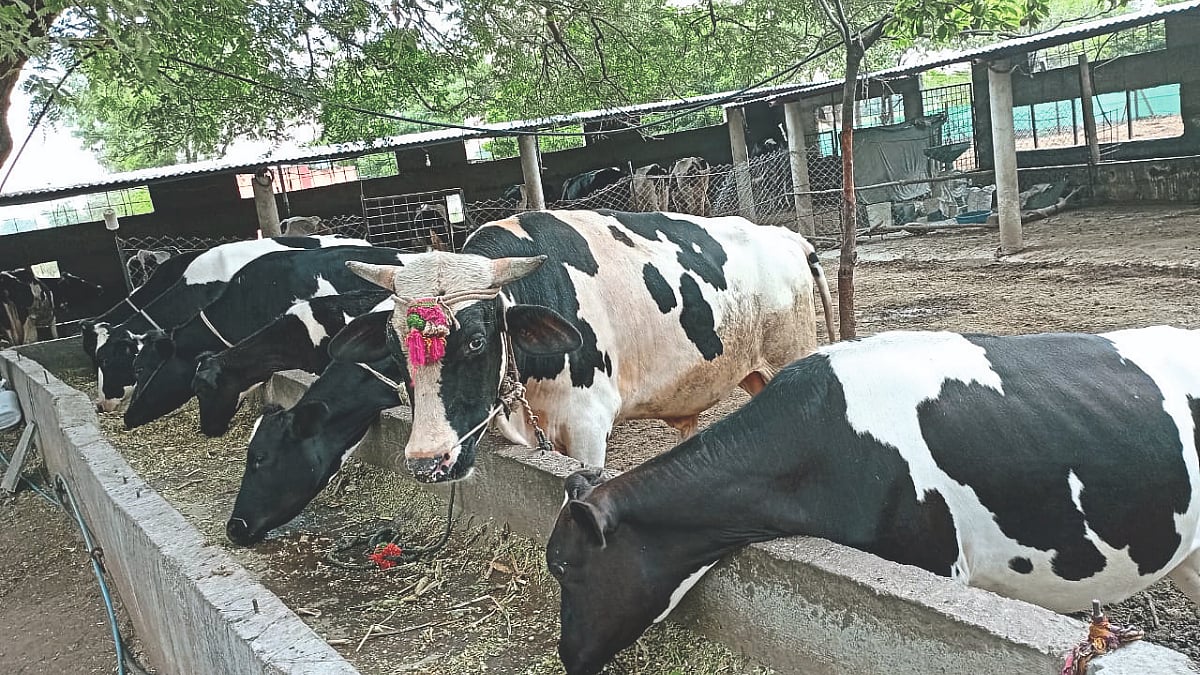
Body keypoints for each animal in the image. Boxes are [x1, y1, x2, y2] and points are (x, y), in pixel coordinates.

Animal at [329, 209, 834, 484]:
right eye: (394, 350)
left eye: (475, 340)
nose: (426, 462)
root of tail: (783, 234)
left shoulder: (588, 425)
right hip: (752, 370)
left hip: (789, 355)